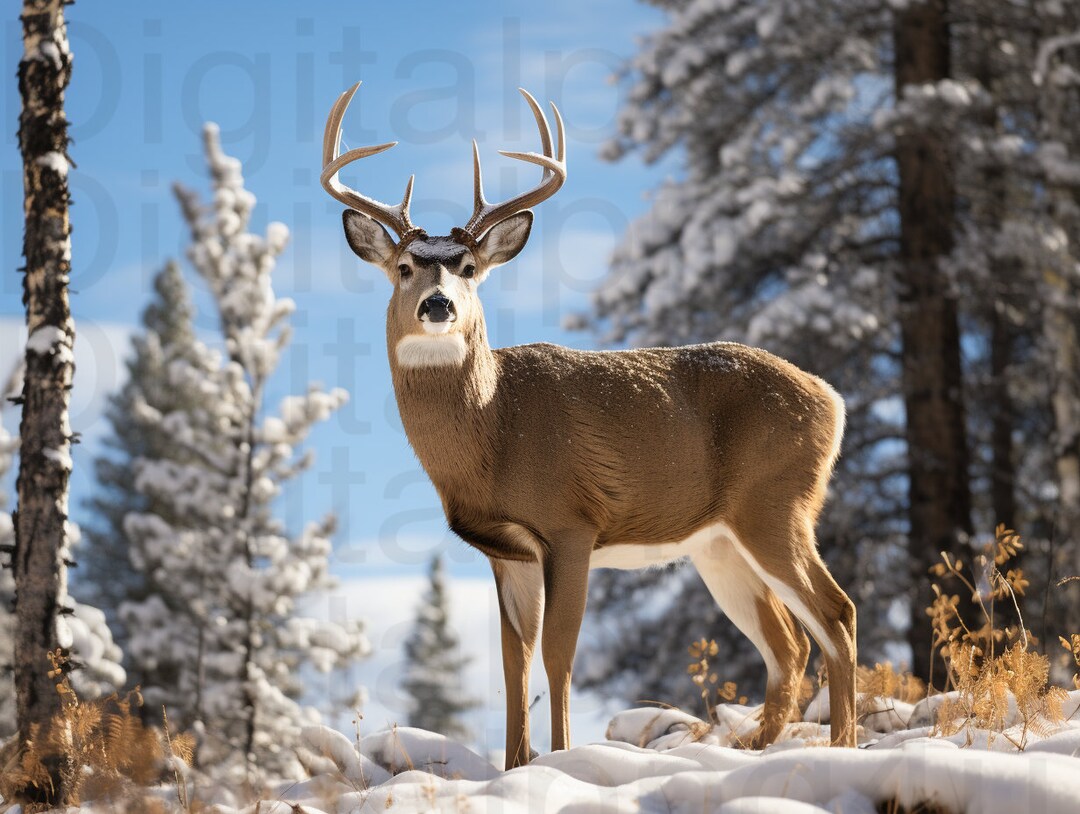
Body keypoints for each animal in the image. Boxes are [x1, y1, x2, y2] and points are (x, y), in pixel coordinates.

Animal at [321, 82, 857, 768]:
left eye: (468, 269)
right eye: (404, 267)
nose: (437, 305)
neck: (494, 430)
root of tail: (832, 399)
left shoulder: (571, 524)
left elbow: (558, 652)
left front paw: (561, 758)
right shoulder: (506, 550)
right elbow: (514, 661)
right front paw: (514, 767)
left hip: (777, 502)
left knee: (835, 614)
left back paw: (842, 745)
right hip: (718, 543)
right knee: (789, 643)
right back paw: (756, 750)